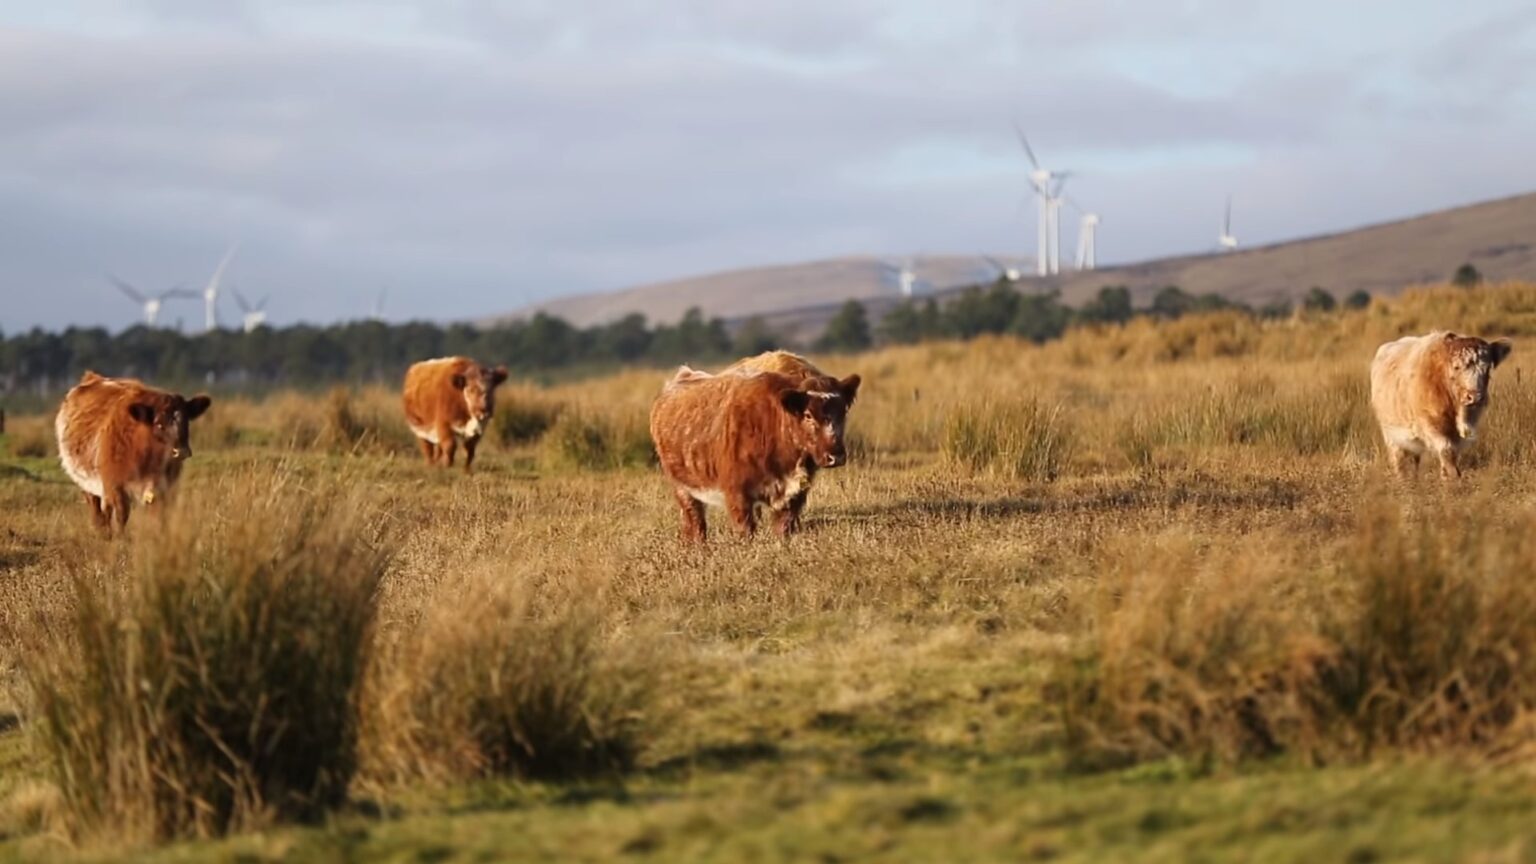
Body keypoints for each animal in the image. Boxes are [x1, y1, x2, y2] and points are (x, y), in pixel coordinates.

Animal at [55, 371, 212, 531]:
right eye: (159, 424)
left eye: (186, 422)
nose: (181, 451)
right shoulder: (115, 487)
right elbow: (121, 516)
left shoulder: (164, 489)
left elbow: (160, 518)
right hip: (87, 484)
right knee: (98, 513)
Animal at [649, 362, 861, 541]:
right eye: (808, 415)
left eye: (843, 412)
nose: (836, 456)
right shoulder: (737, 495)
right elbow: (746, 532)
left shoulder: (794, 497)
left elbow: (783, 529)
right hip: (683, 489)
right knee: (695, 523)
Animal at [1370, 331, 1511, 479]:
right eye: (1456, 367)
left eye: (1487, 369)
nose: (1475, 397)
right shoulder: (1431, 423)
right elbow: (1446, 449)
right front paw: (1453, 475)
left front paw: (1446, 475)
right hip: (1391, 433)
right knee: (1398, 458)